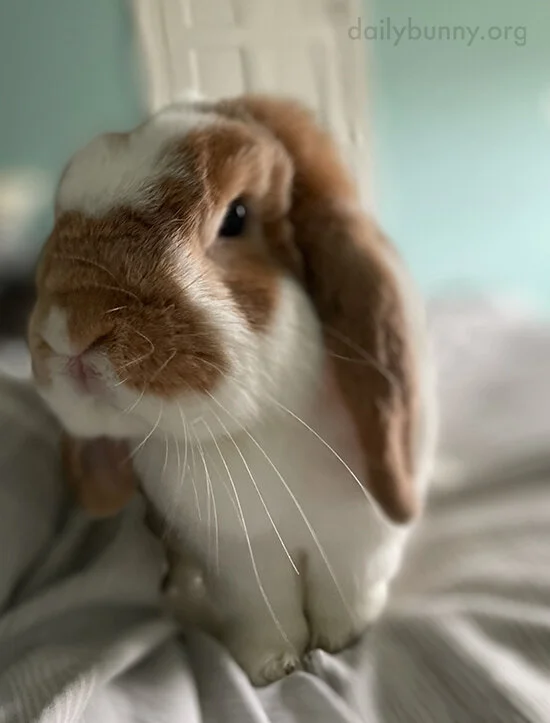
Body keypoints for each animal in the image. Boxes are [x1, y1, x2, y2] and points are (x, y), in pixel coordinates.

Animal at [28, 95, 437, 685]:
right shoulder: (239, 561)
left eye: (237, 218)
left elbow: (346, 595)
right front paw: (272, 668)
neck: (260, 425)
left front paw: (340, 643)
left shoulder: (358, 539)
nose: (69, 331)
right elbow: (267, 612)